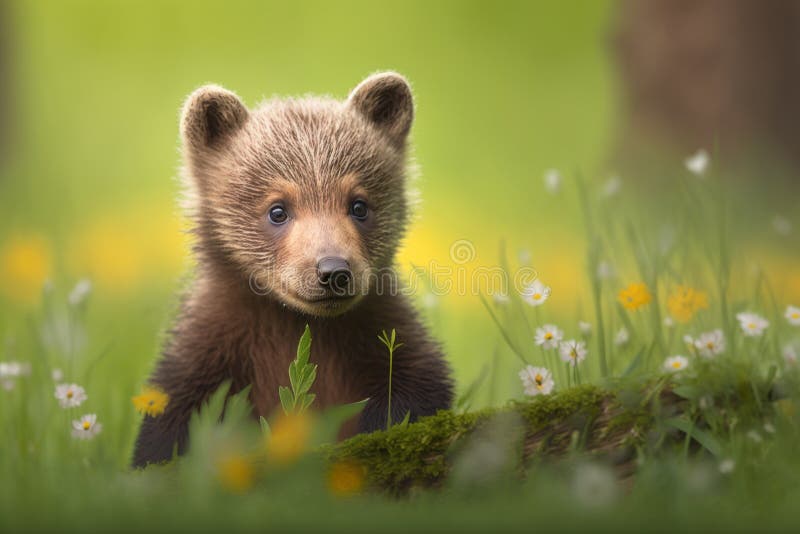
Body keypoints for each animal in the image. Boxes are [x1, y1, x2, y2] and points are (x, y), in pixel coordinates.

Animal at [132, 72, 454, 467]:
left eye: (359, 205)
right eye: (277, 210)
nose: (333, 270)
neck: (299, 325)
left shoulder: (386, 342)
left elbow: (413, 391)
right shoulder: (212, 352)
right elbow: (170, 426)